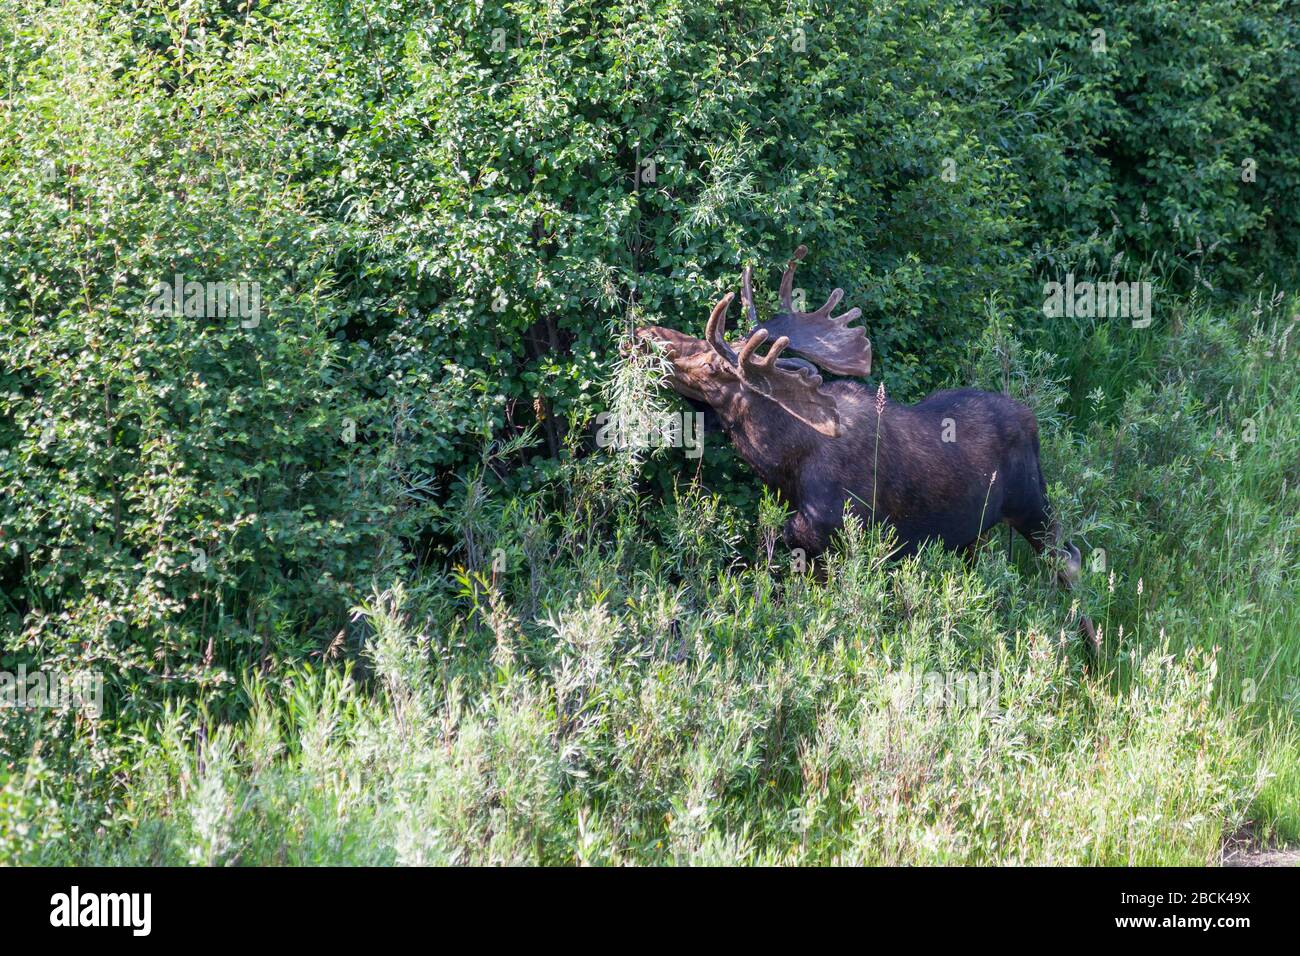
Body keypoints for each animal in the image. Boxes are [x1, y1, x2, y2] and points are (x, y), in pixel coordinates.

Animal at [637, 245, 1095, 644]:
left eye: (714, 365)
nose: (646, 332)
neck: (786, 467)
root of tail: (1033, 420)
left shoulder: (836, 539)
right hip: (973, 531)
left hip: (1033, 503)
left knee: (1070, 559)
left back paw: (1091, 650)